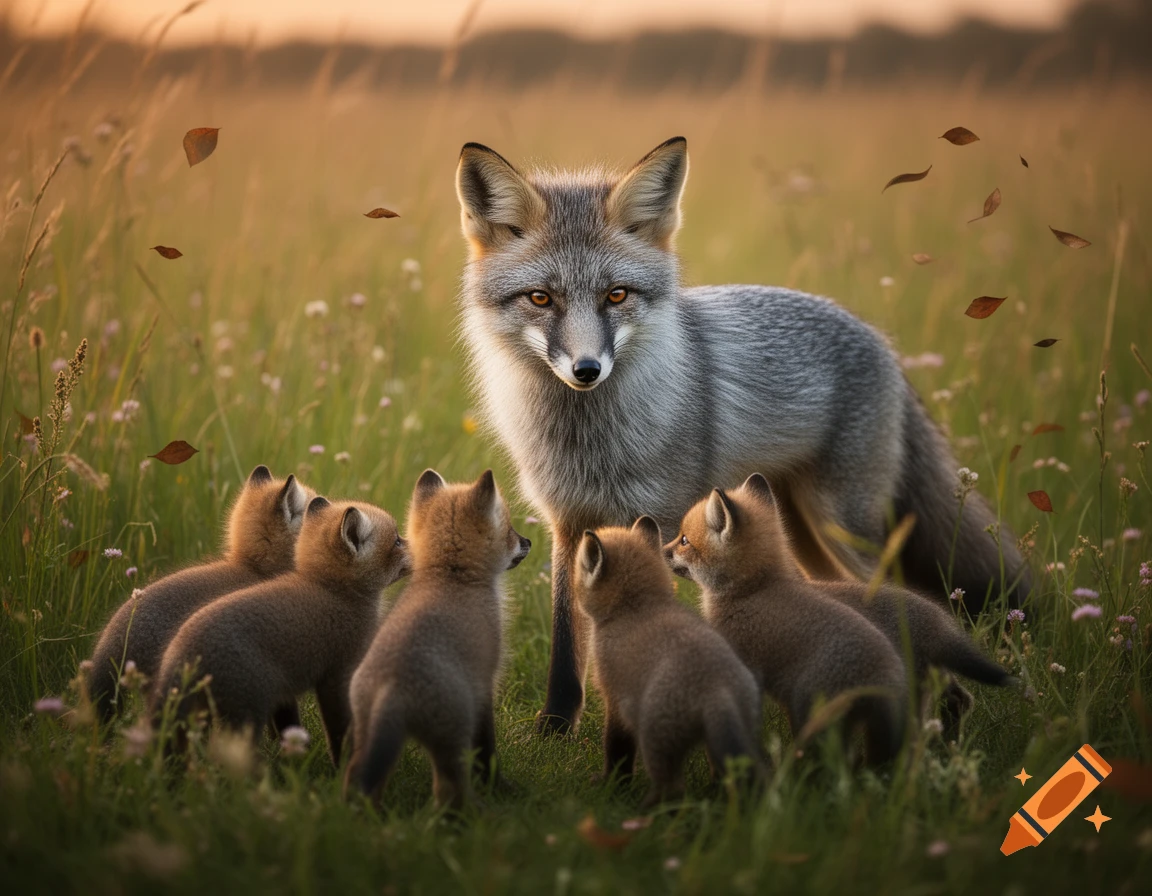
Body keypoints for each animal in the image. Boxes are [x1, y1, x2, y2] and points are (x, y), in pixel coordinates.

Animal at [153, 497, 409, 764]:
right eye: (397, 540)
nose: (417, 543)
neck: (335, 592)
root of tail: (181, 654)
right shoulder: (338, 676)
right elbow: (339, 732)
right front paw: (342, 766)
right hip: (246, 715)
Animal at [343, 470, 531, 809]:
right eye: (510, 530)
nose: (529, 542)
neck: (448, 575)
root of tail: (394, 686)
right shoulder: (483, 686)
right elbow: (487, 750)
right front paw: (498, 784)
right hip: (451, 741)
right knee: (449, 791)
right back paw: (473, 812)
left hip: (365, 737)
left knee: (359, 780)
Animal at [454, 136, 1032, 733]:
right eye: (540, 299)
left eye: (616, 295)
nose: (587, 370)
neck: (589, 445)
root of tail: (879, 339)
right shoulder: (568, 523)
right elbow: (567, 642)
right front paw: (557, 725)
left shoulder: (658, 520)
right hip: (803, 538)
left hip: (841, 527)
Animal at [574, 517, 764, 806]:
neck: (638, 608)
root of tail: (717, 688)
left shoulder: (616, 700)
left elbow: (618, 749)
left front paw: (612, 783)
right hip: (725, 738)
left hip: (655, 741)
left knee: (672, 789)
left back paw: (647, 809)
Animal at [666, 482, 908, 766]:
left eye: (684, 540)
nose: (661, 549)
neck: (751, 591)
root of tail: (883, 678)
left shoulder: (746, 666)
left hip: (809, 712)